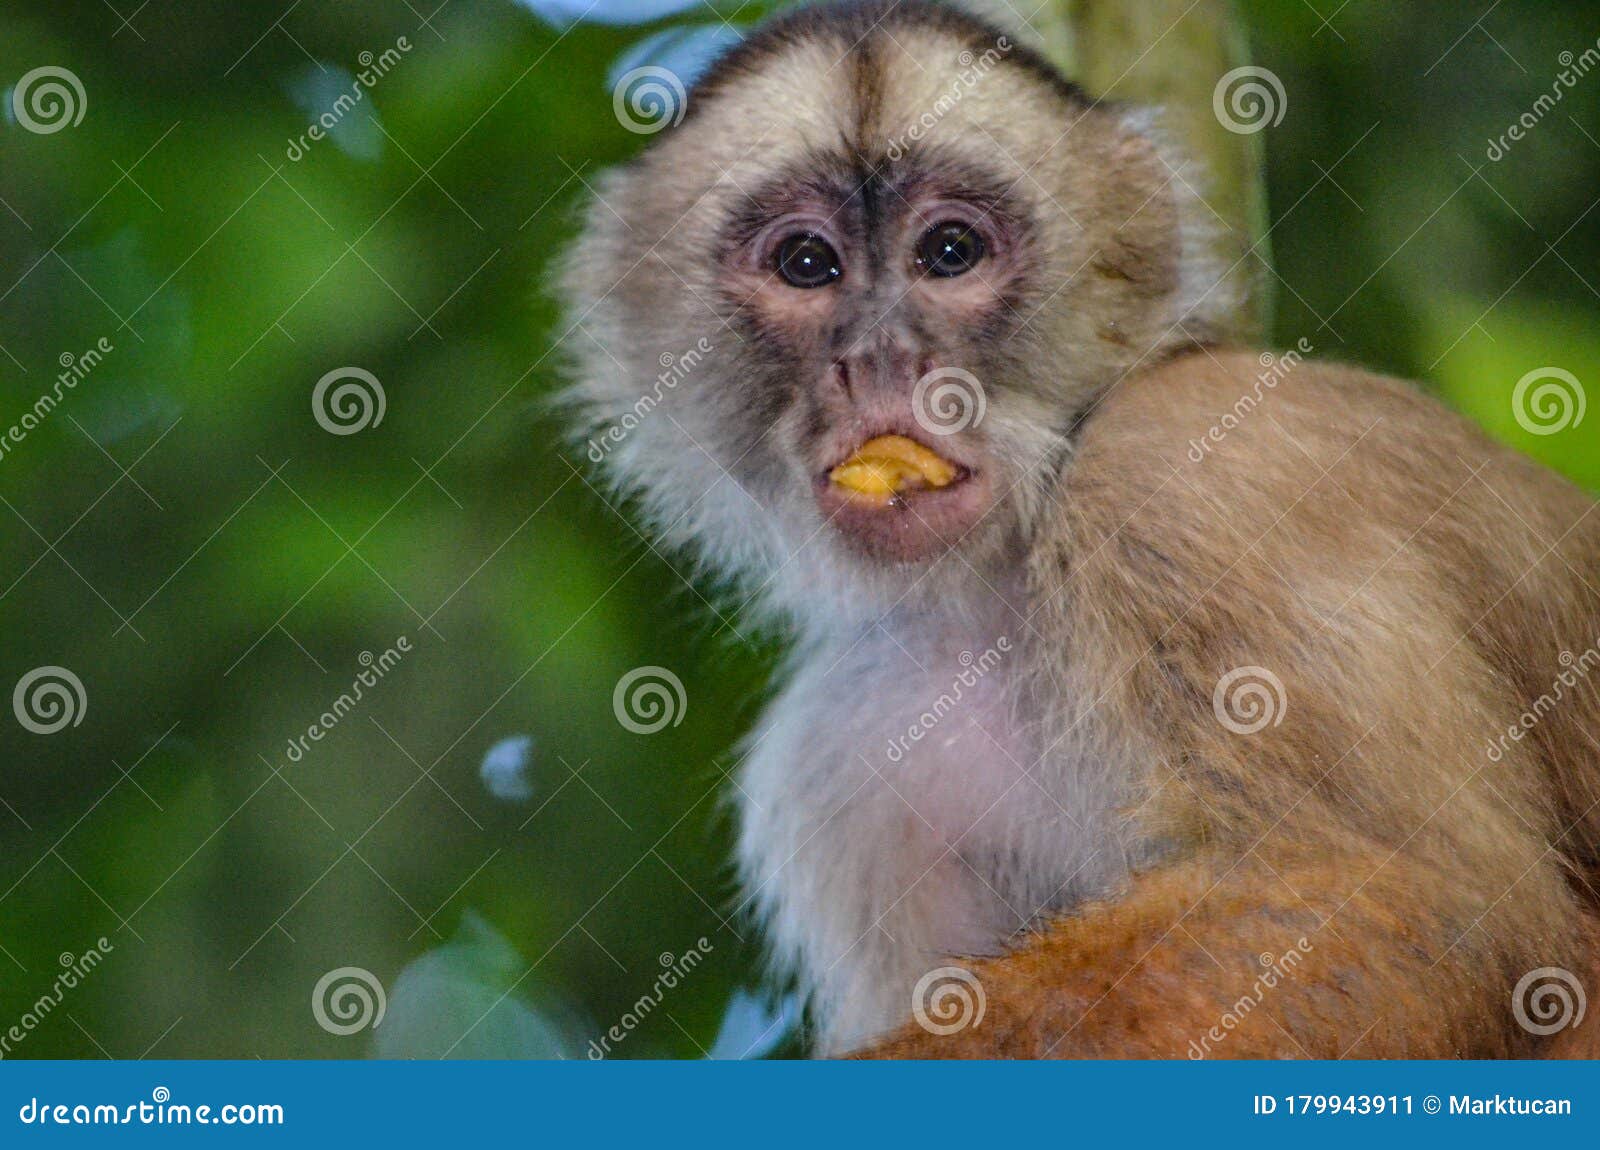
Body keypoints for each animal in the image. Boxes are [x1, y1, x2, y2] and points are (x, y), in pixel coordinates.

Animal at [558, 0, 1600, 1058]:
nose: (882, 357)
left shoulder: (1184, 469)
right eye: (807, 264)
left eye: (950, 252)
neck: (1005, 583)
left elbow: (1432, 908)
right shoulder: (843, 759)